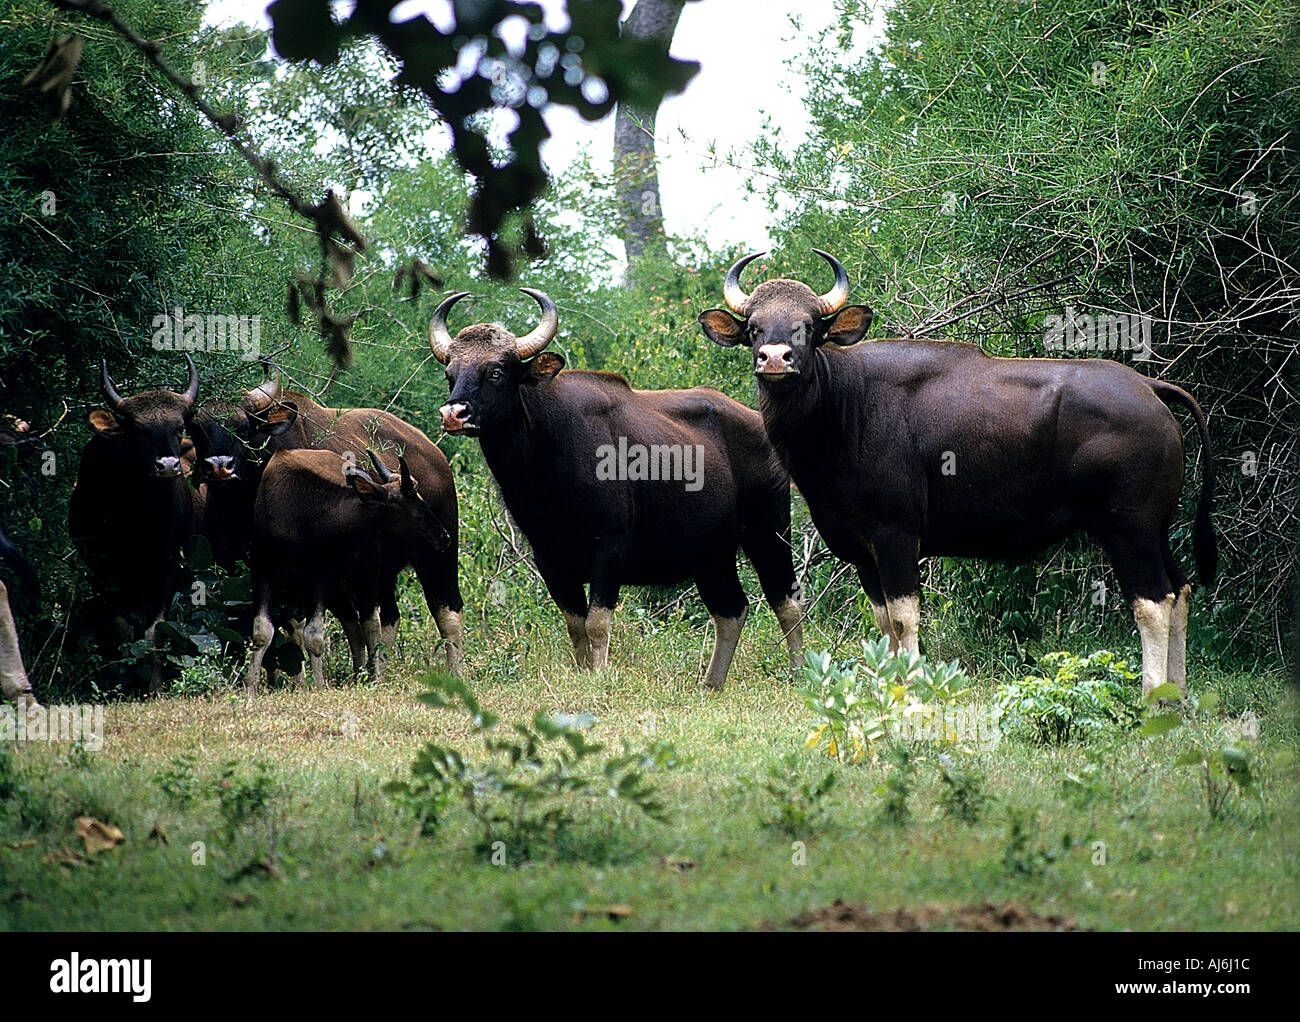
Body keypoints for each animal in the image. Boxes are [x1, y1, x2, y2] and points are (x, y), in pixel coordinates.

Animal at [699, 250, 1216, 696]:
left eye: (808, 327)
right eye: (753, 329)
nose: (775, 358)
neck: (844, 408)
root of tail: (1147, 386)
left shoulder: (897, 535)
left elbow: (904, 618)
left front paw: (911, 684)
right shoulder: (864, 551)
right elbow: (883, 622)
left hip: (1129, 527)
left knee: (1153, 602)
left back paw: (1153, 695)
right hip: (1155, 528)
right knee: (1181, 590)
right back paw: (1178, 695)